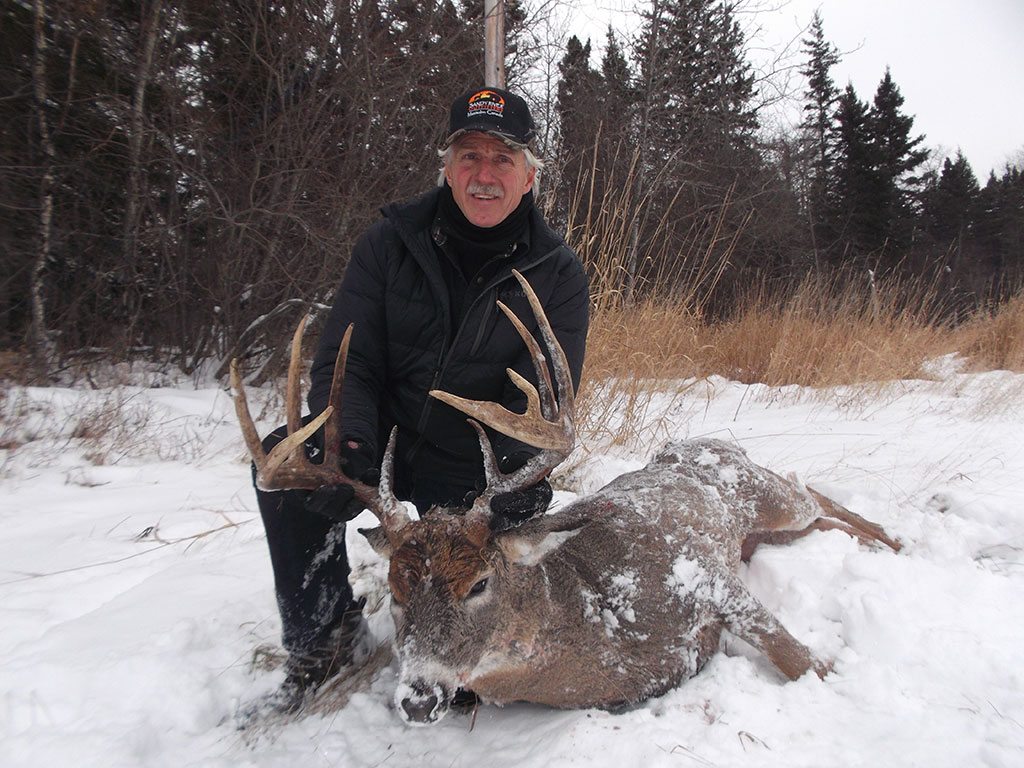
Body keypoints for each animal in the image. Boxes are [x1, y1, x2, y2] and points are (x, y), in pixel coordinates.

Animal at [231, 270, 902, 727]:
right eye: (396, 591)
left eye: (479, 583)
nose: (418, 698)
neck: (604, 614)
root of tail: (700, 443)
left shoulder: (706, 576)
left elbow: (800, 659)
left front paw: (836, 677)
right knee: (817, 511)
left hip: (761, 493)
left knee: (815, 493)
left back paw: (899, 542)